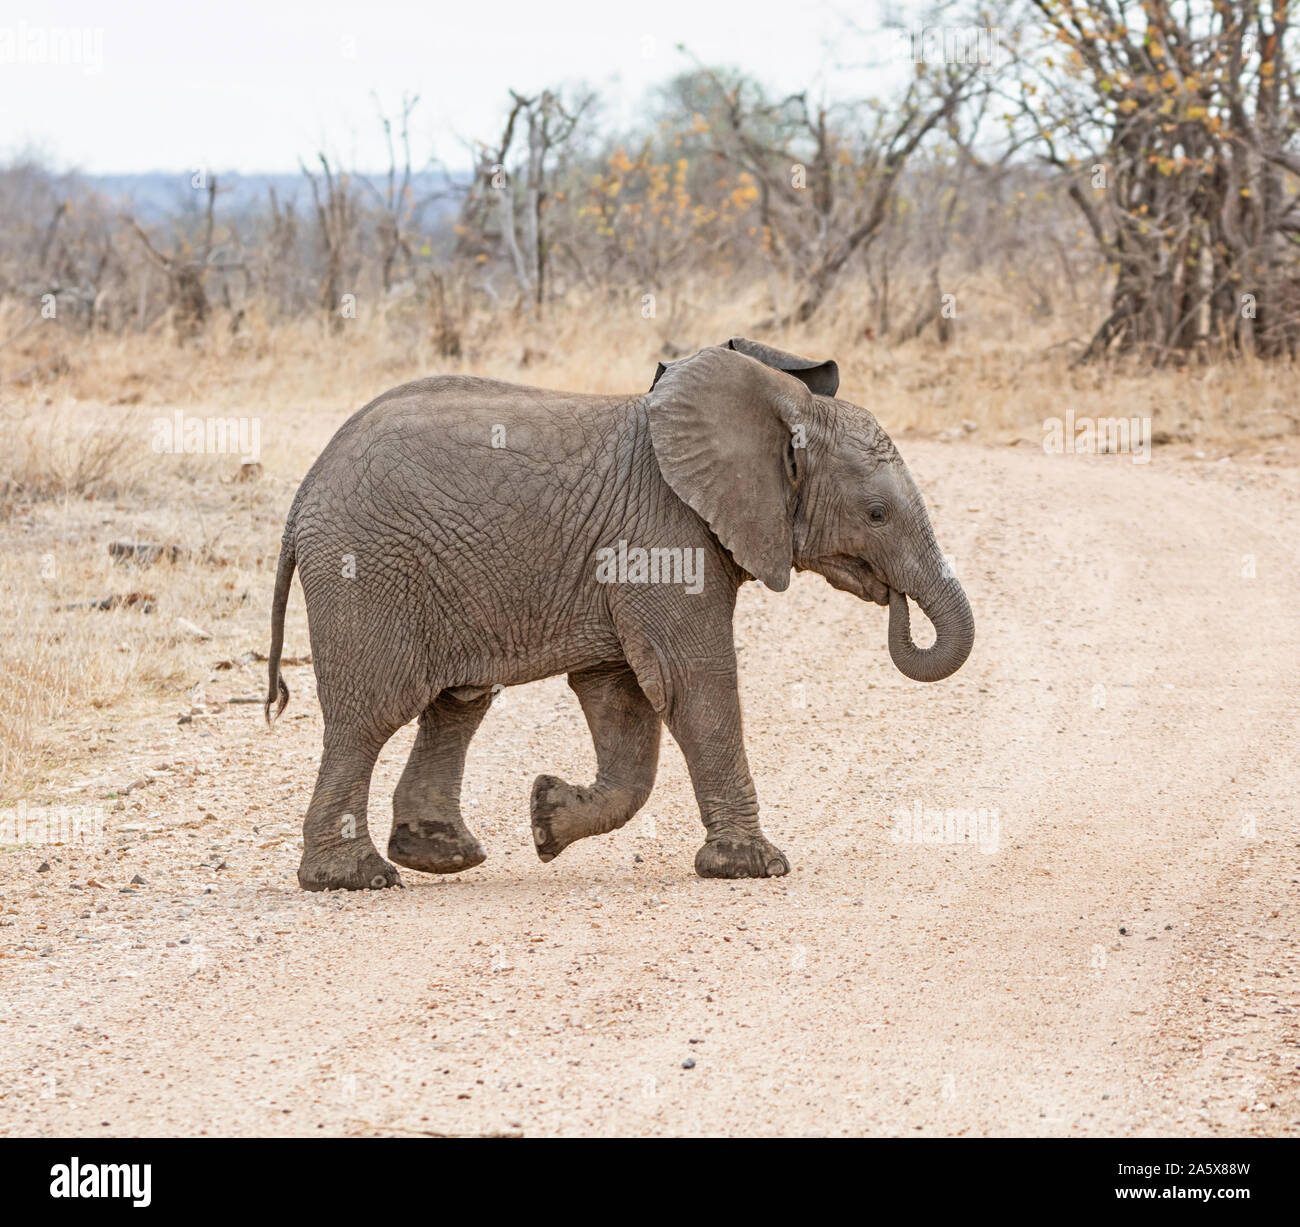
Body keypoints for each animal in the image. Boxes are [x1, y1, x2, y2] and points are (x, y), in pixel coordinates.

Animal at [265, 337, 974, 891]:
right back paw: (354, 877)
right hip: (368, 572)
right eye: (876, 514)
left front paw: (546, 817)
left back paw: (442, 856)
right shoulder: (663, 537)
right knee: (371, 714)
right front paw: (755, 867)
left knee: (457, 702)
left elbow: (623, 703)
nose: (894, 598)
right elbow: (693, 683)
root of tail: (302, 497)